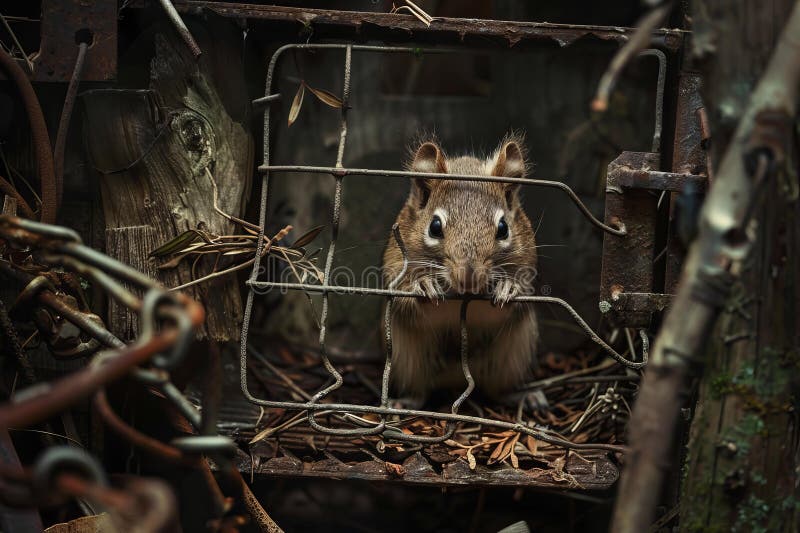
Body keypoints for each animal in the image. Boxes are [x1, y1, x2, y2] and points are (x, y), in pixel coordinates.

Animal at [382, 134, 539, 405]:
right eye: (435, 226)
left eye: (503, 228)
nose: (469, 279)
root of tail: (456, 380)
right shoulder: (395, 268)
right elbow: (407, 299)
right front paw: (425, 285)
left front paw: (508, 288)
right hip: (409, 359)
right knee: (420, 391)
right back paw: (405, 401)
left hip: (511, 356)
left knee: (497, 390)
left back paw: (523, 396)